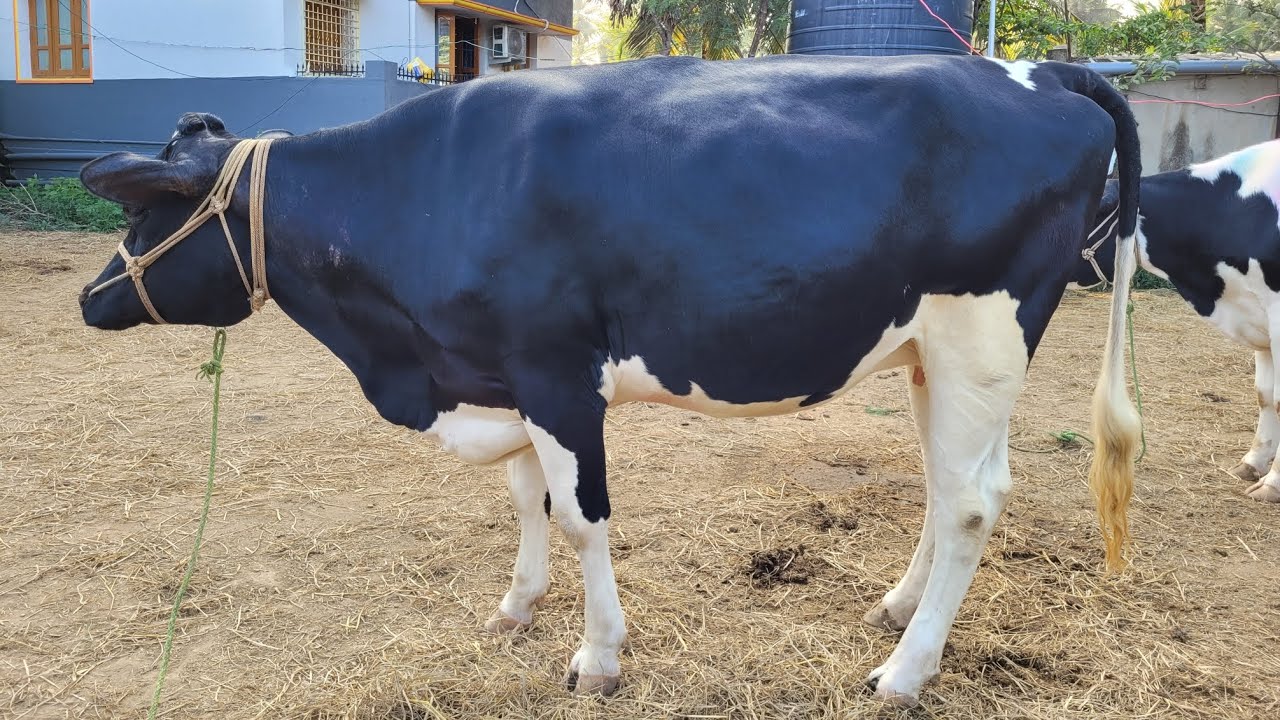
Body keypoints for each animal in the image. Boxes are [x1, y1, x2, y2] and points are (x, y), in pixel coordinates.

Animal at [76, 54, 1142, 707]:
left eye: (140, 216)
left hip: (981, 335)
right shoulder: (496, 371)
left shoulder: (555, 372)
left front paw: (596, 657)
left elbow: (582, 515)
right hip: (931, 352)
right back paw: (894, 607)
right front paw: (516, 606)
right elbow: (526, 499)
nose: (89, 298)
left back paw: (904, 670)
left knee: (969, 502)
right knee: (946, 484)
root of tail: (1038, 71)